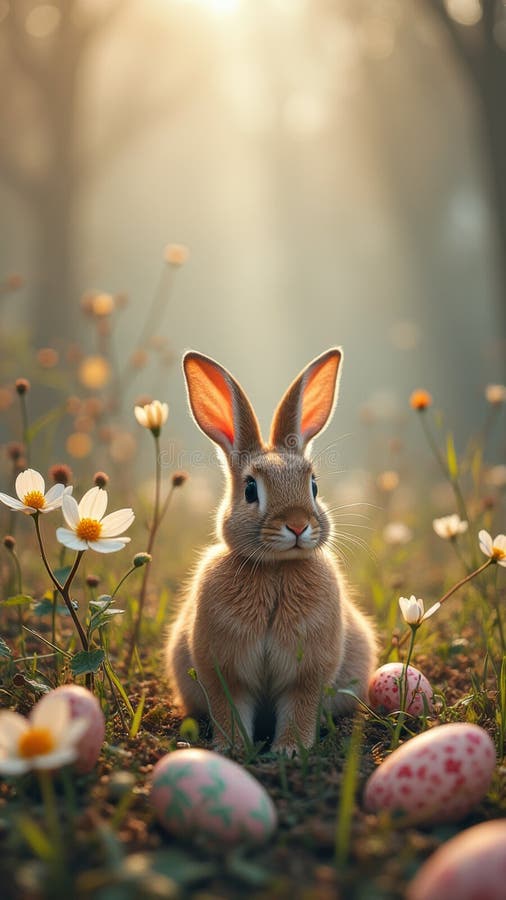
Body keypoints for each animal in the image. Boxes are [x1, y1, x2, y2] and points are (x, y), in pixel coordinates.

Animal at [165, 347, 377, 755]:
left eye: (313, 485)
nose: (297, 525)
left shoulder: (308, 671)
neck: (276, 569)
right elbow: (229, 706)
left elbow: (300, 705)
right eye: (250, 489)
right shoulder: (222, 669)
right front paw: (233, 748)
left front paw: (289, 750)